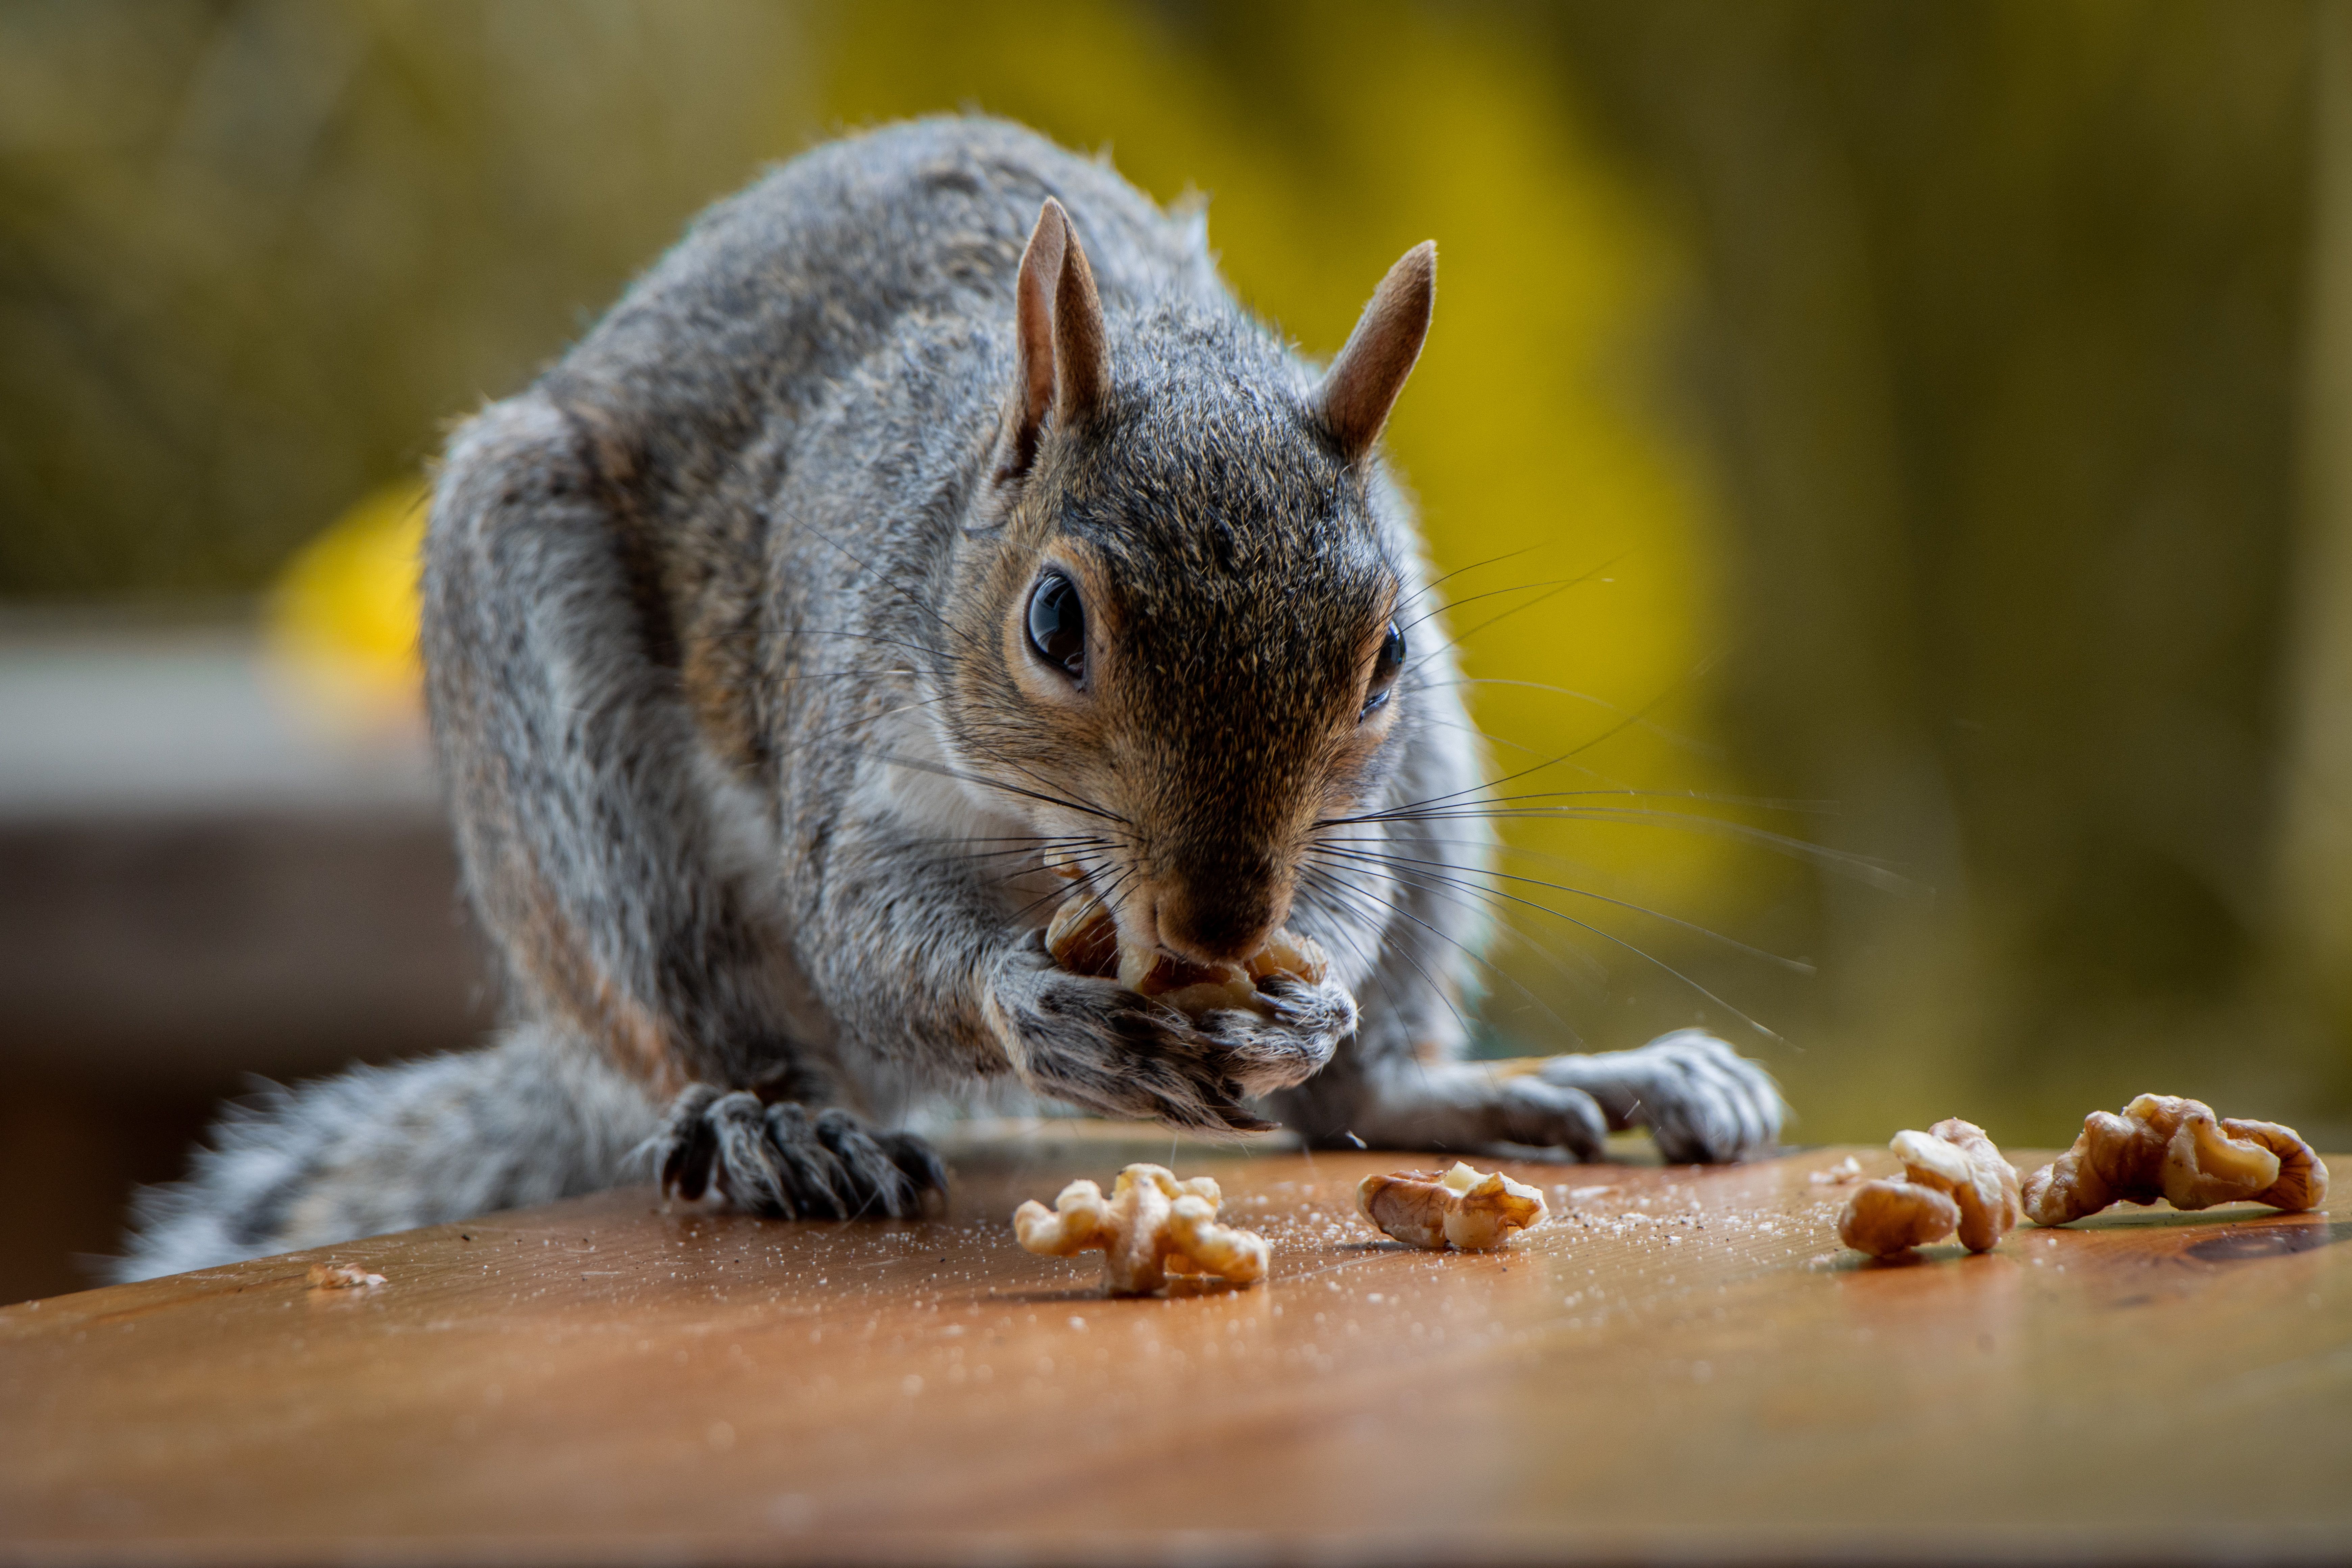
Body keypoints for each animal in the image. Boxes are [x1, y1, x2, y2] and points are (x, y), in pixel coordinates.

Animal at [120, 118, 1782, 1281]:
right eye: (1052, 620)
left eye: (1380, 654)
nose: (1220, 923)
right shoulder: (854, 746)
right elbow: (867, 934)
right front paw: (1036, 1008)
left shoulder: (1373, 786)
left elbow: (1344, 917)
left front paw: (1304, 998)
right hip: (561, 735)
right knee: (697, 997)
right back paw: (772, 1119)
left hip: (1437, 800)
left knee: (1354, 1093)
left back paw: (1483, 1085)